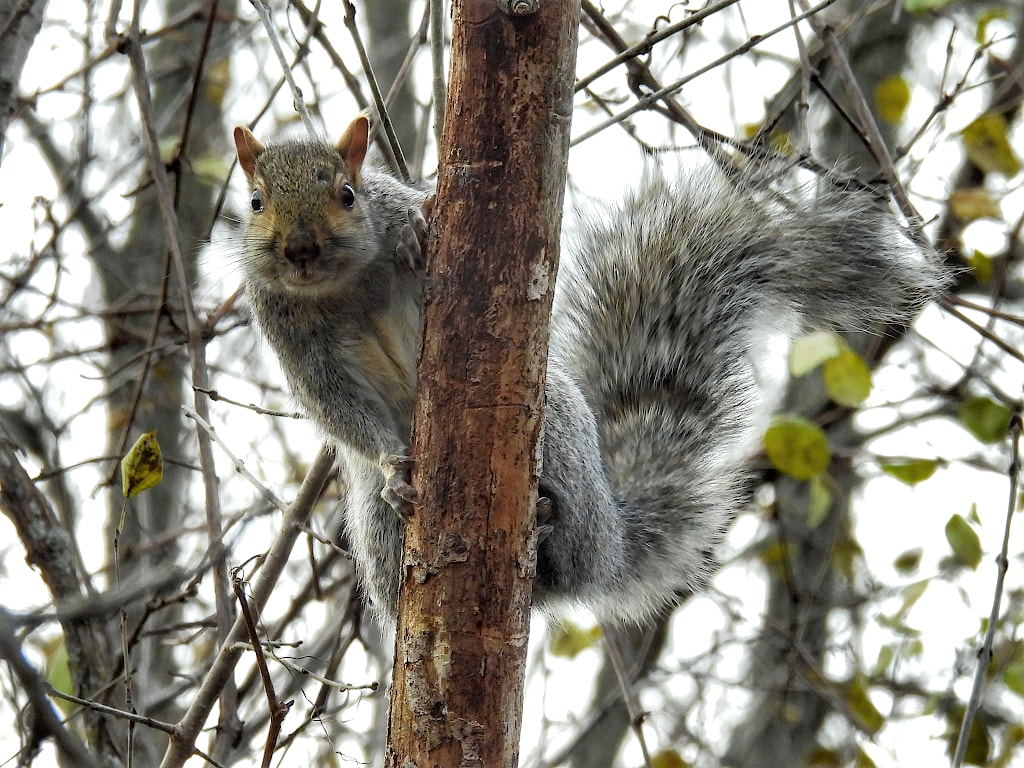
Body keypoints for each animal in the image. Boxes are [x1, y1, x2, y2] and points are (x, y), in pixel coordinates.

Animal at [232, 115, 946, 624]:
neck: (346, 285)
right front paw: (392, 467)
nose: (299, 249)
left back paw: (553, 527)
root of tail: (613, 538)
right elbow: (334, 407)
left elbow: (416, 214)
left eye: (348, 193)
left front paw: (412, 223)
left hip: (556, 429)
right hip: (379, 537)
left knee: (572, 558)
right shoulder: (290, 336)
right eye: (256, 202)